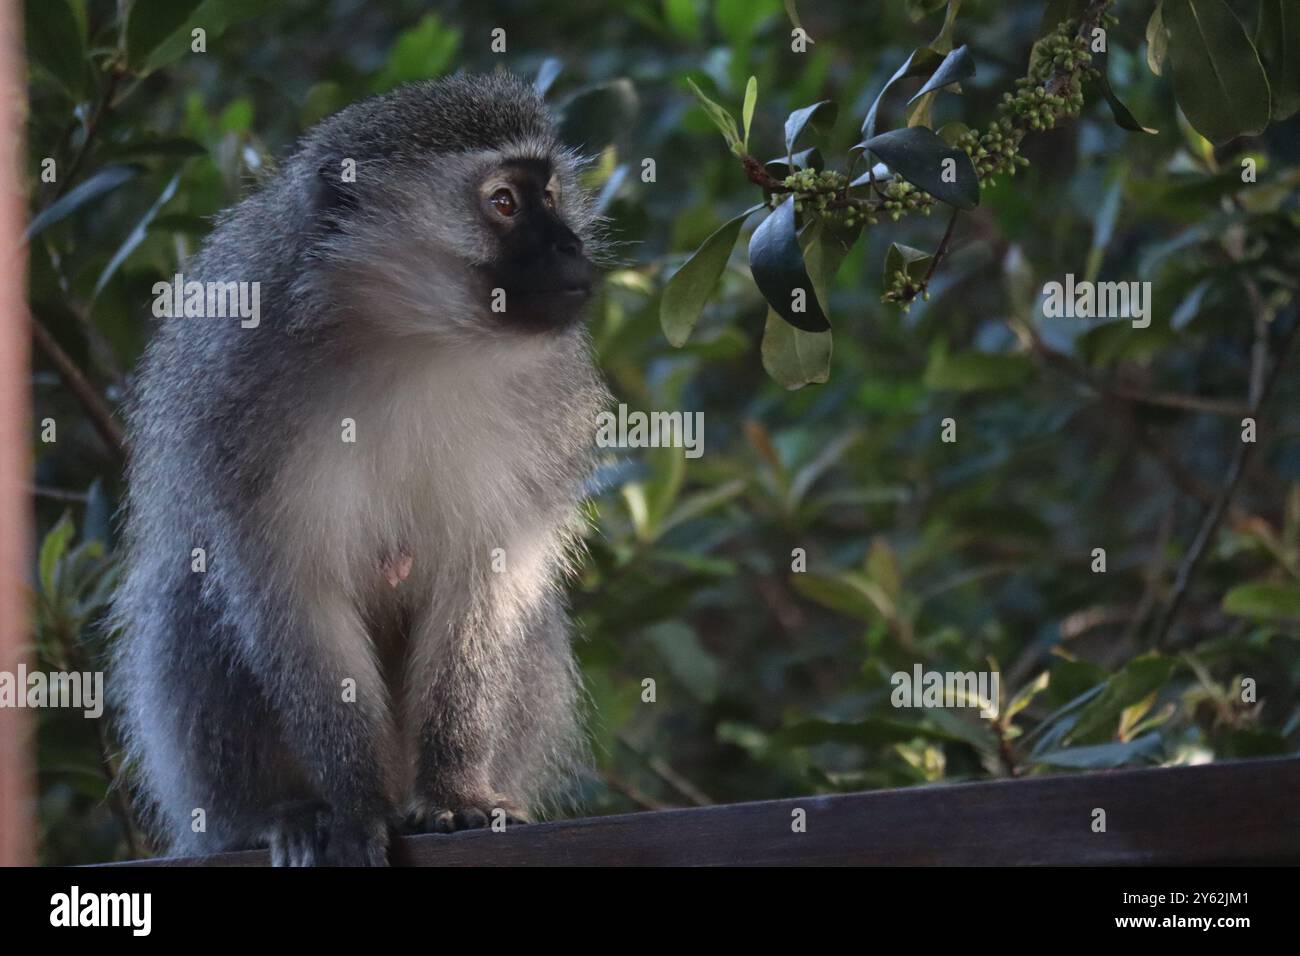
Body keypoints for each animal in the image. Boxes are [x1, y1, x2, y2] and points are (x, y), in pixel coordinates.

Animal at [110, 73, 611, 865]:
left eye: (553, 194)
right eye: (504, 202)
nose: (573, 243)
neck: (414, 342)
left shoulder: (551, 411)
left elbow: (487, 580)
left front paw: (457, 792)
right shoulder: (233, 398)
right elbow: (290, 597)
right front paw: (351, 807)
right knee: (190, 591)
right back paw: (273, 812)